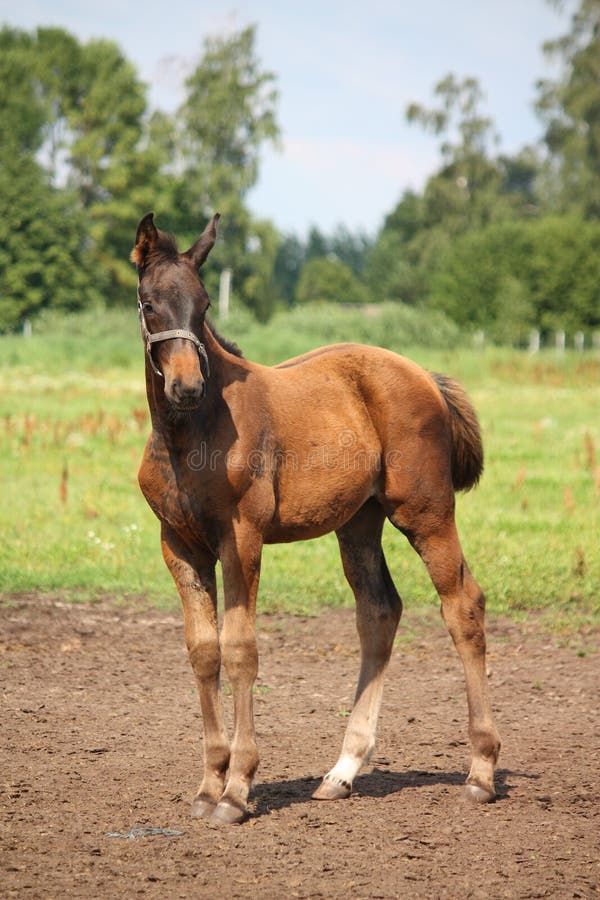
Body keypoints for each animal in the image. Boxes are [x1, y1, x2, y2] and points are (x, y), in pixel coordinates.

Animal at [132, 212, 501, 825]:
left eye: (204, 304)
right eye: (149, 303)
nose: (186, 386)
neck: (191, 435)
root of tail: (425, 376)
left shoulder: (242, 539)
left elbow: (240, 649)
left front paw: (237, 789)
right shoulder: (178, 544)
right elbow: (203, 650)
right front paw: (208, 785)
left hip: (426, 512)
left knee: (463, 605)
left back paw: (481, 772)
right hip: (359, 522)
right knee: (379, 611)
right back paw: (342, 772)